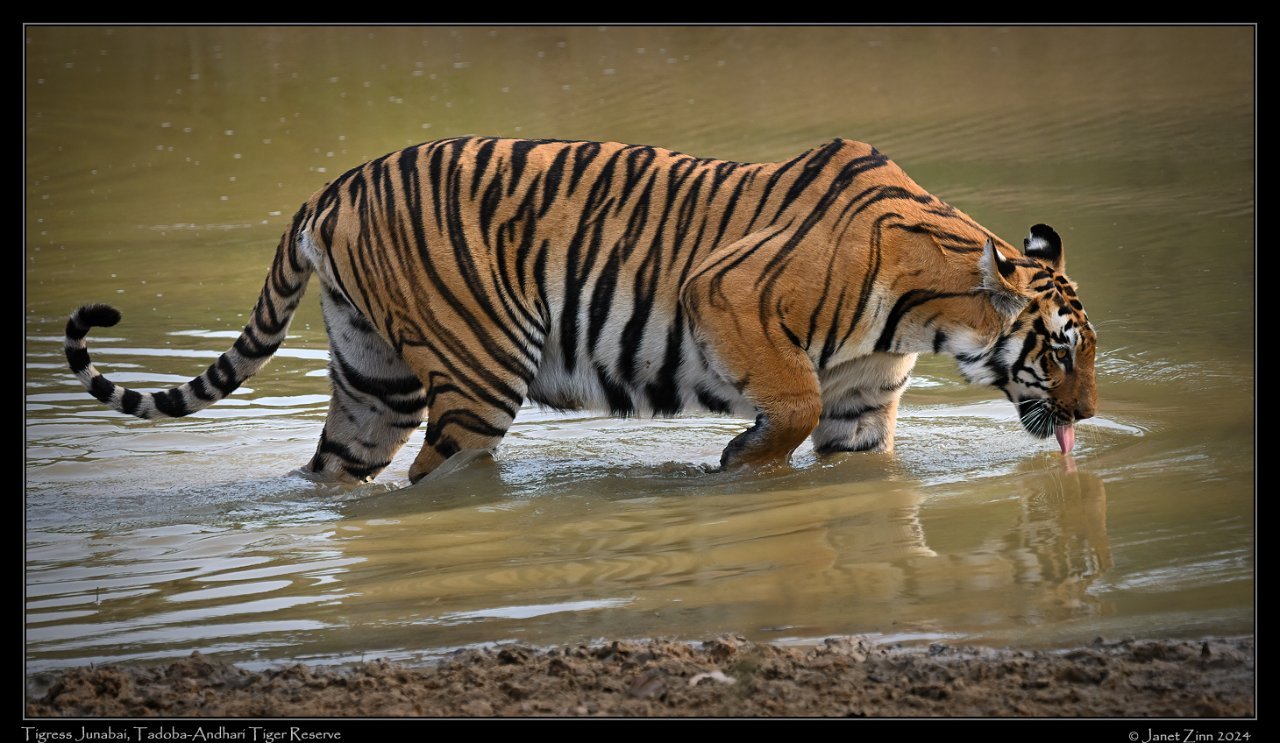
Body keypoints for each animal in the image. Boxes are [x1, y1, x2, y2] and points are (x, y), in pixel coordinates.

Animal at [64, 137, 1097, 485]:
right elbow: (790, 405)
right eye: (1058, 351)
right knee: (437, 472)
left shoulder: (864, 404)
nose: (1086, 417)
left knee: (337, 470)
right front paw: (738, 462)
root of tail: (333, 187)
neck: (927, 310)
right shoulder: (726, 295)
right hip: (478, 374)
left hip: (373, 381)